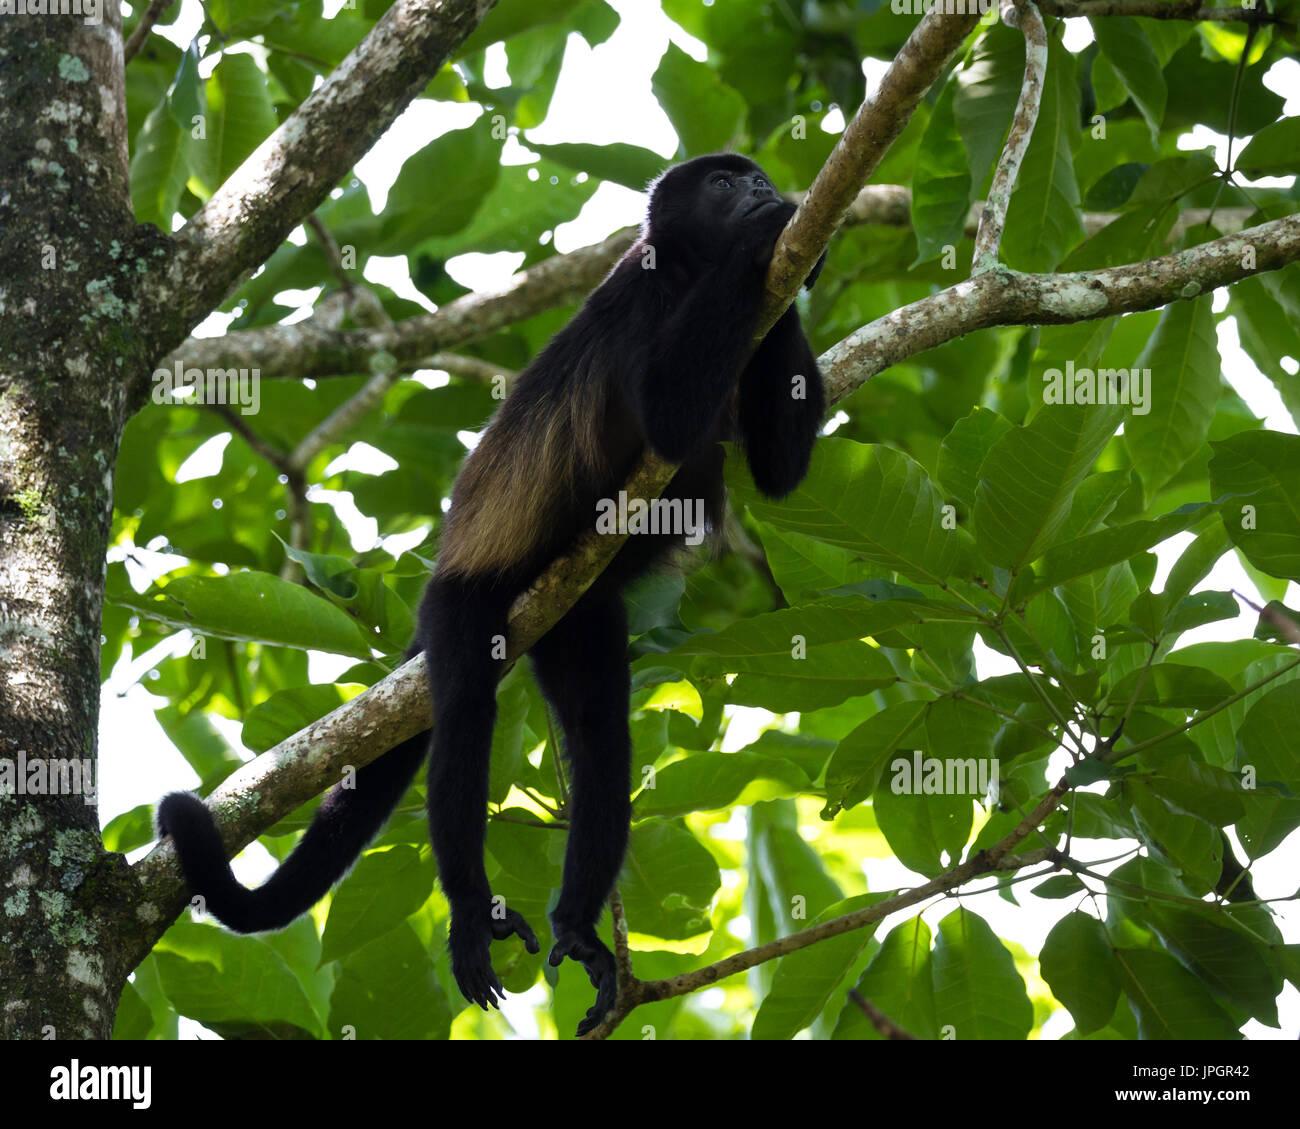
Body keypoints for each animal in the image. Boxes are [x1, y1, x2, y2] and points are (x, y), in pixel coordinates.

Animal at [158, 153, 827, 1038]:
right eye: (722, 183)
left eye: (749, 173)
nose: (757, 190)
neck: (684, 270)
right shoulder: (640, 300)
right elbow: (668, 417)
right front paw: (766, 235)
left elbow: (781, 472)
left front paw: (800, 252)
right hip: (459, 608)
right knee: (468, 711)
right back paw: (472, 911)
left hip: (578, 618)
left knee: (600, 732)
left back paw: (577, 921)